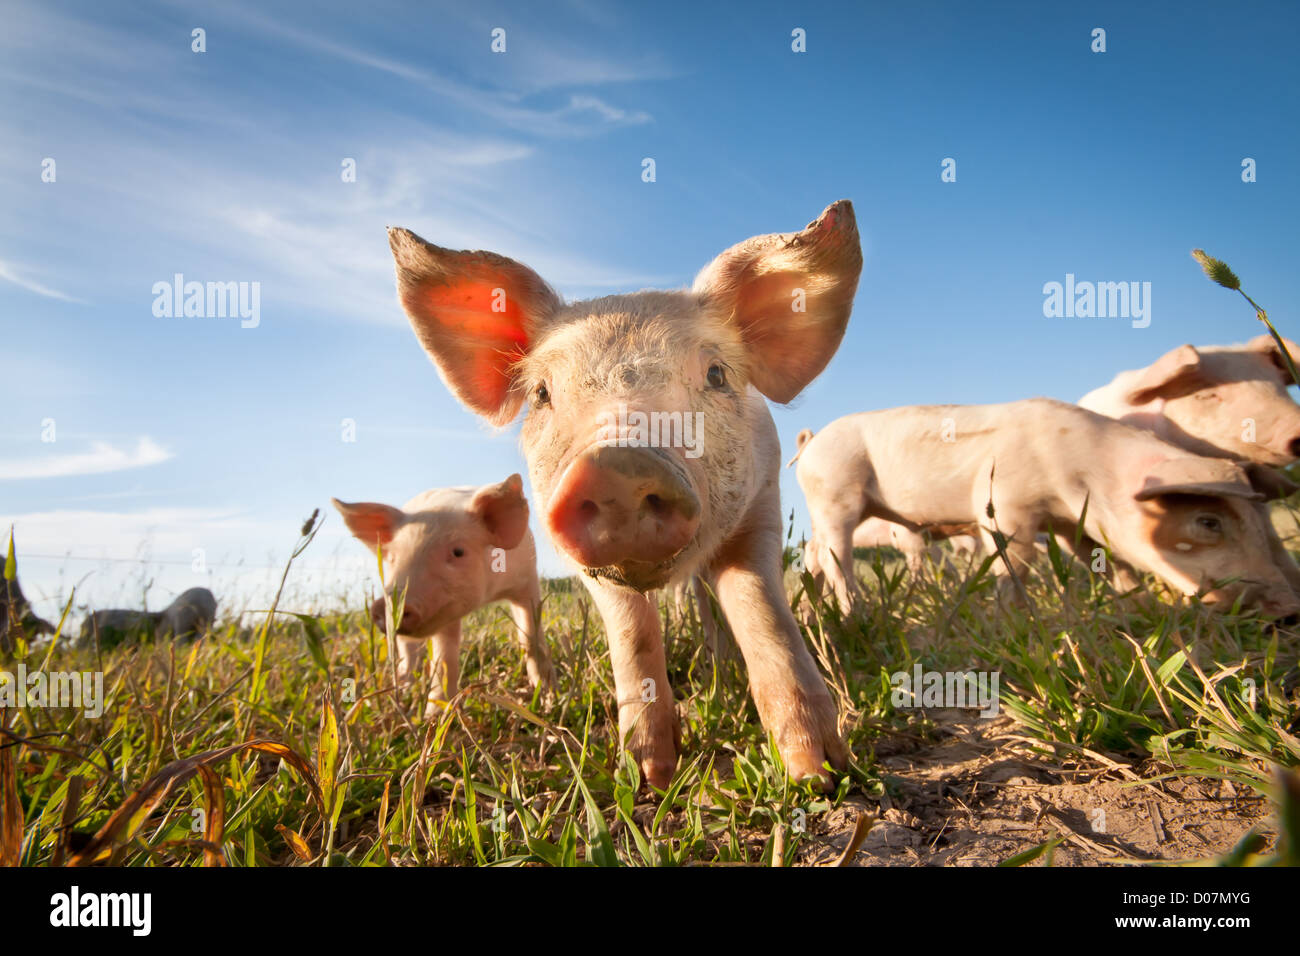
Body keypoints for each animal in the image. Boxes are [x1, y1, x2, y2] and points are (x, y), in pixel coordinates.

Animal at [332, 474, 554, 715]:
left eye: (458, 552)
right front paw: (434, 715)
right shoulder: (445, 612)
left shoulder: (527, 580)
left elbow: (531, 636)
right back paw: (404, 686)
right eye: (392, 558)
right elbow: (445, 657)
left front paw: (547, 696)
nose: (386, 605)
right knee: (408, 651)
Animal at [387, 200, 863, 787]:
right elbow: (632, 634)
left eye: (716, 373)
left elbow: (762, 611)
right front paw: (648, 775)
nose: (616, 464)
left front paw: (820, 773)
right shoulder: (582, 563)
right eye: (541, 393)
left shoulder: (762, 505)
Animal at [795, 398, 1300, 618]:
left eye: (1260, 526)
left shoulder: (1071, 524)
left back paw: (815, 608)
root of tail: (812, 440)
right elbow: (1015, 561)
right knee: (836, 556)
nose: (1289, 607)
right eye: (1207, 521)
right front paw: (1013, 616)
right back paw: (853, 614)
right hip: (836, 494)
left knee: (814, 556)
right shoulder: (1005, 507)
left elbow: (1107, 562)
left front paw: (1135, 603)